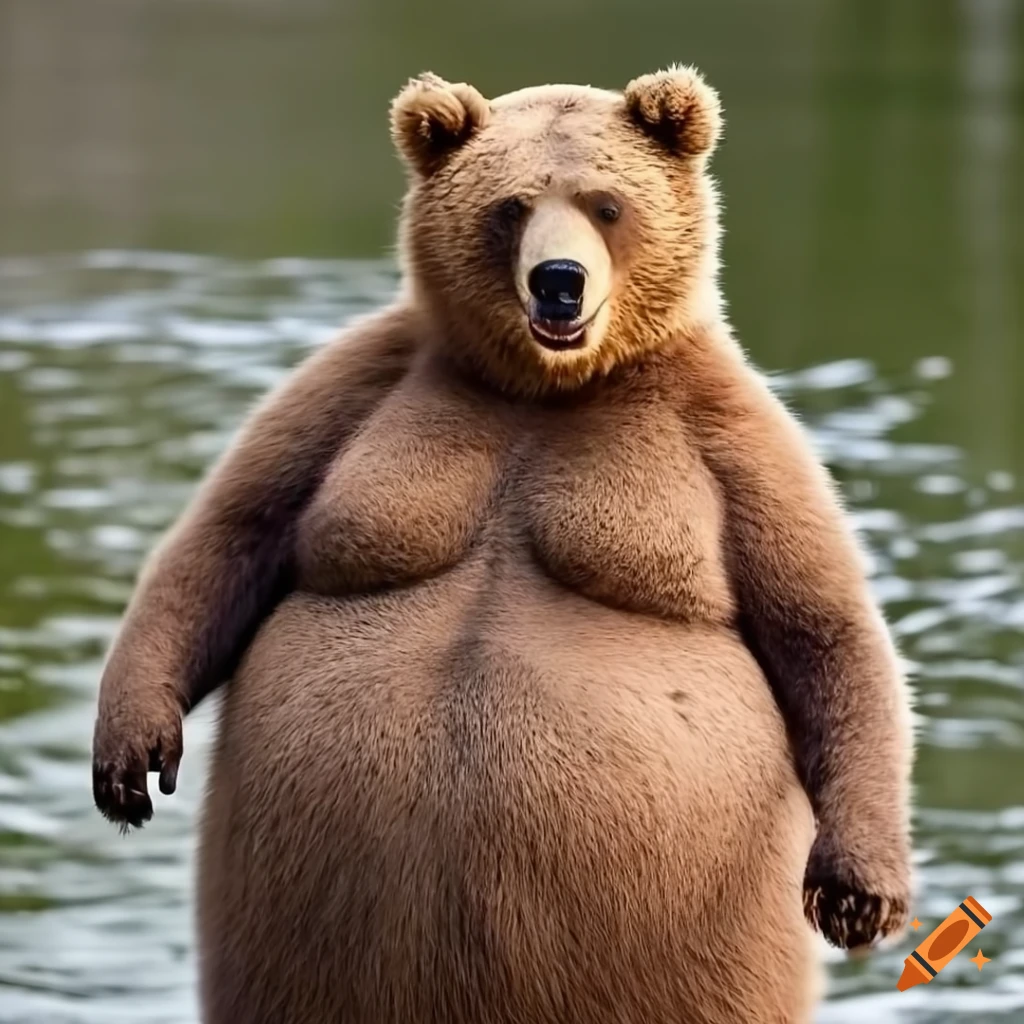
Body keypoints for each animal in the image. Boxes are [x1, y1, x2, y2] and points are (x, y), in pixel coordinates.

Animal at [92, 66, 914, 1024]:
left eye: (606, 203)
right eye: (512, 205)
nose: (558, 281)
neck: (544, 388)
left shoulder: (727, 430)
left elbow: (823, 626)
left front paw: (857, 890)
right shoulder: (361, 385)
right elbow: (231, 535)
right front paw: (131, 758)